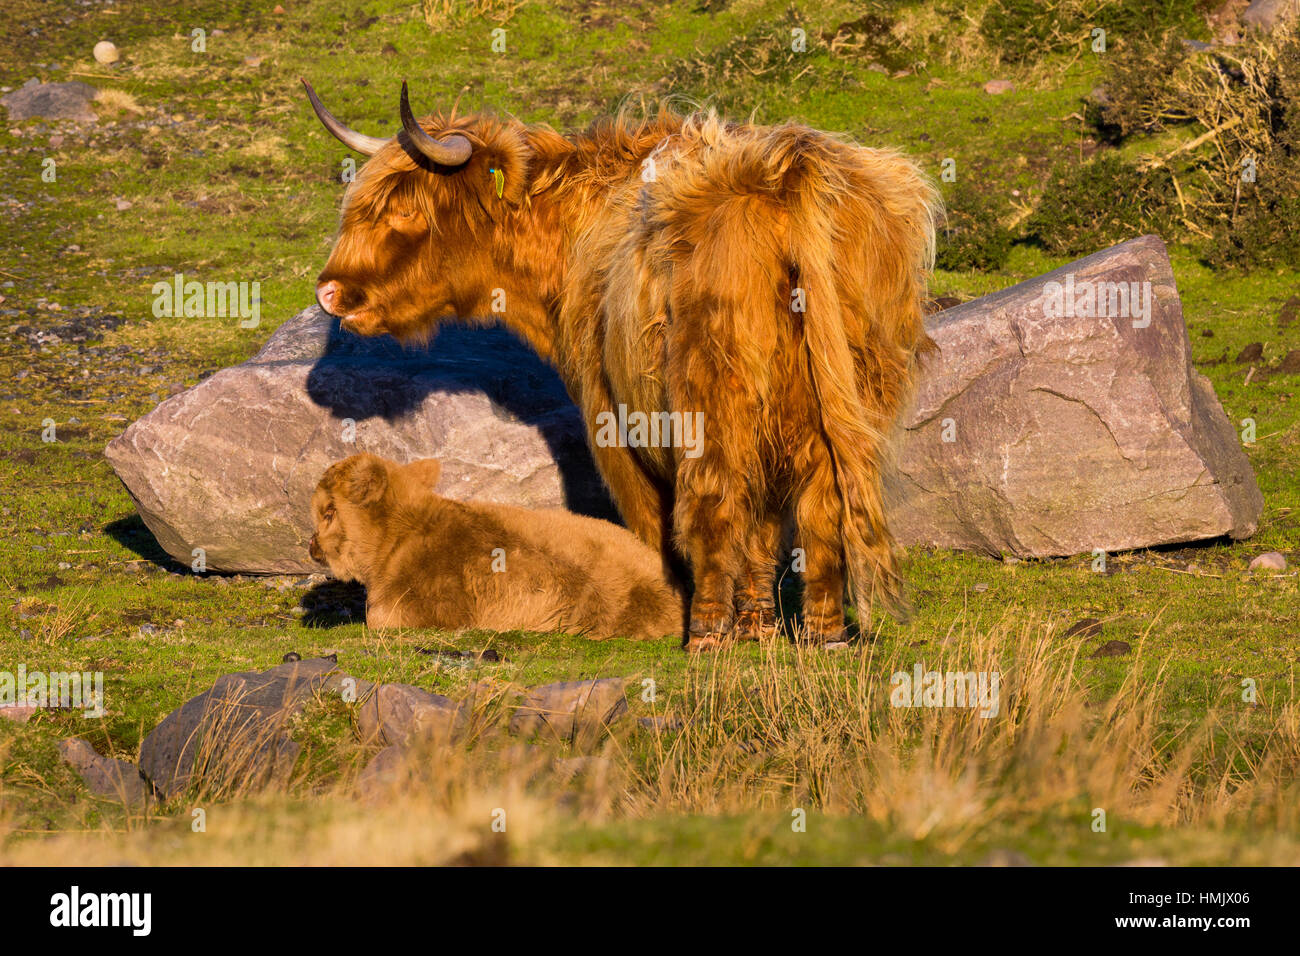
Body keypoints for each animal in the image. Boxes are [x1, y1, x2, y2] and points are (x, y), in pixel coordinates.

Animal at [304, 79, 939, 651]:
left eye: (404, 212)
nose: (330, 291)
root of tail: (787, 174)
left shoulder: (610, 417)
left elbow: (658, 524)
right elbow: (761, 531)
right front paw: (757, 629)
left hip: (709, 398)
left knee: (714, 499)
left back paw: (705, 635)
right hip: (847, 394)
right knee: (820, 503)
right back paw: (824, 635)